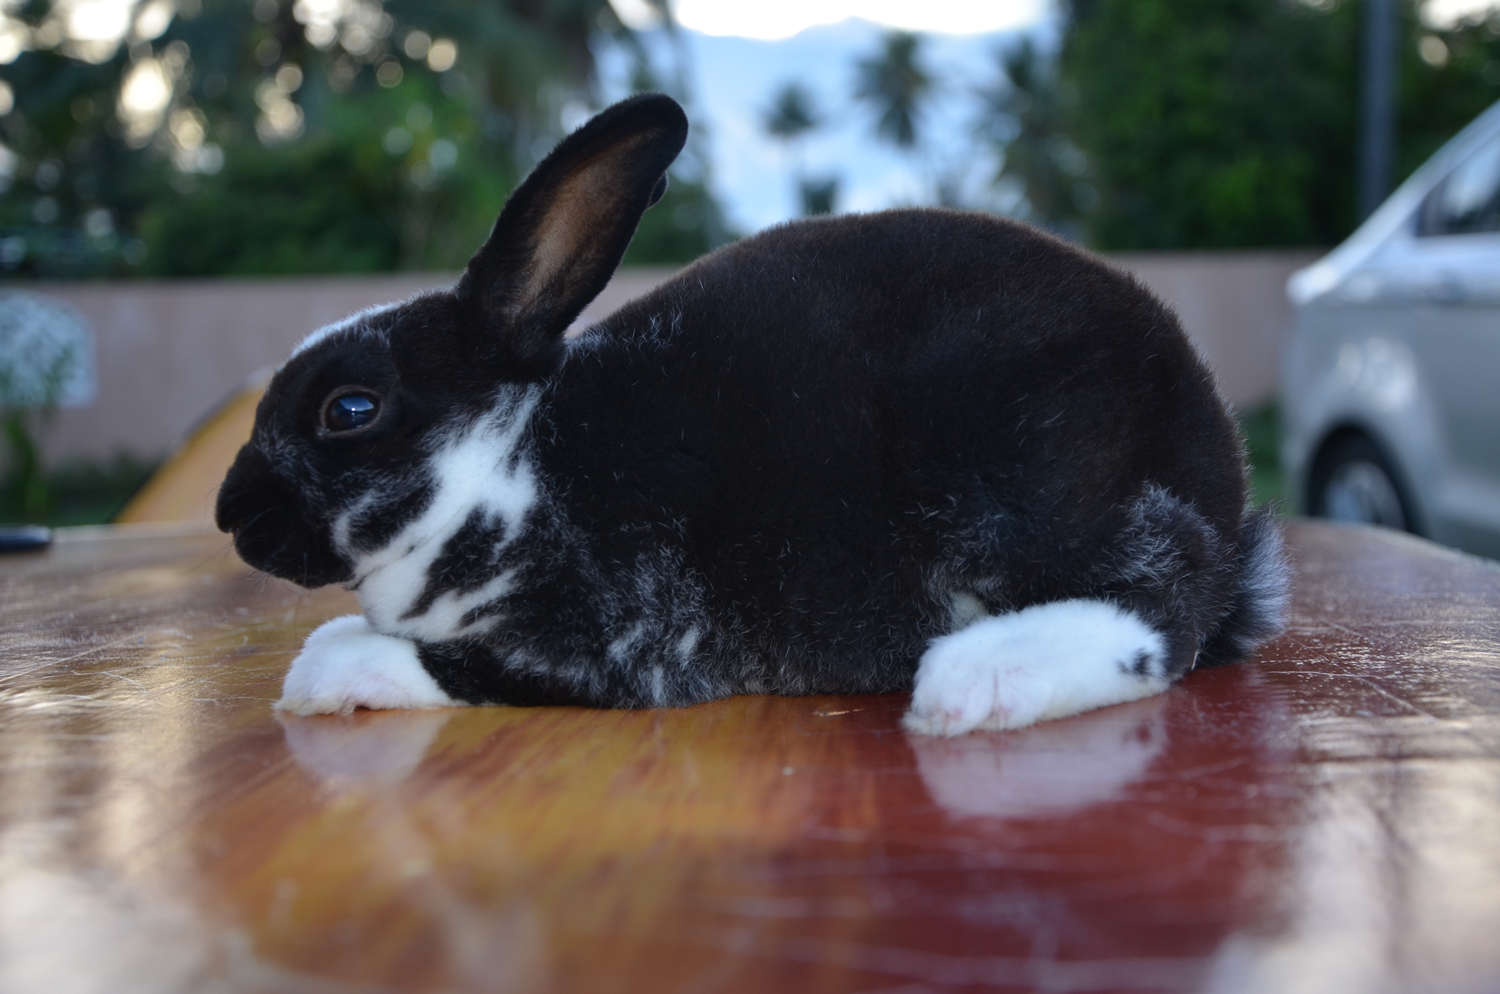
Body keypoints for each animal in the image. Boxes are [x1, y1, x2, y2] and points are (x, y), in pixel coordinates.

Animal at [216, 93, 1290, 736]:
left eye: (351, 407)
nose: (229, 512)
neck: (513, 464)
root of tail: (1217, 464)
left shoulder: (602, 642)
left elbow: (452, 668)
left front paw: (329, 672)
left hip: (1031, 470)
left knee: (1167, 598)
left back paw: (978, 681)